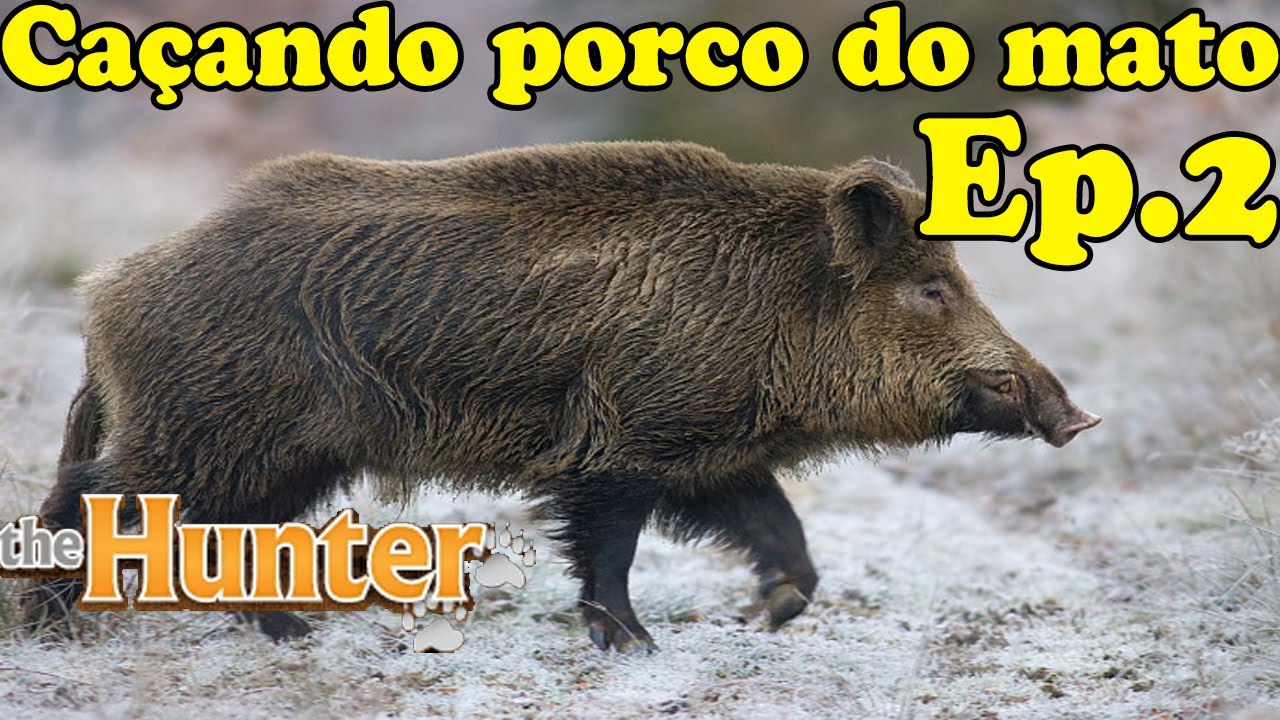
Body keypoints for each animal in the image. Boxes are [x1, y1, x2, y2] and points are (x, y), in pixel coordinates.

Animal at [23, 141, 1099, 652]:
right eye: (932, 288)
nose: (1075, 415)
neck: (774, 307)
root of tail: (110, 291)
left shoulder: (706, 452)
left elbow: (778, 527)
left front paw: (773, 615)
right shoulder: (622, 443)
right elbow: (610, 549)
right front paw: (635, 647)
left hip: (286, 452)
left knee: (226, 529)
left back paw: (293, 632)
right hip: (203, 430)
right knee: (97, 493)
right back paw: (51, 628)